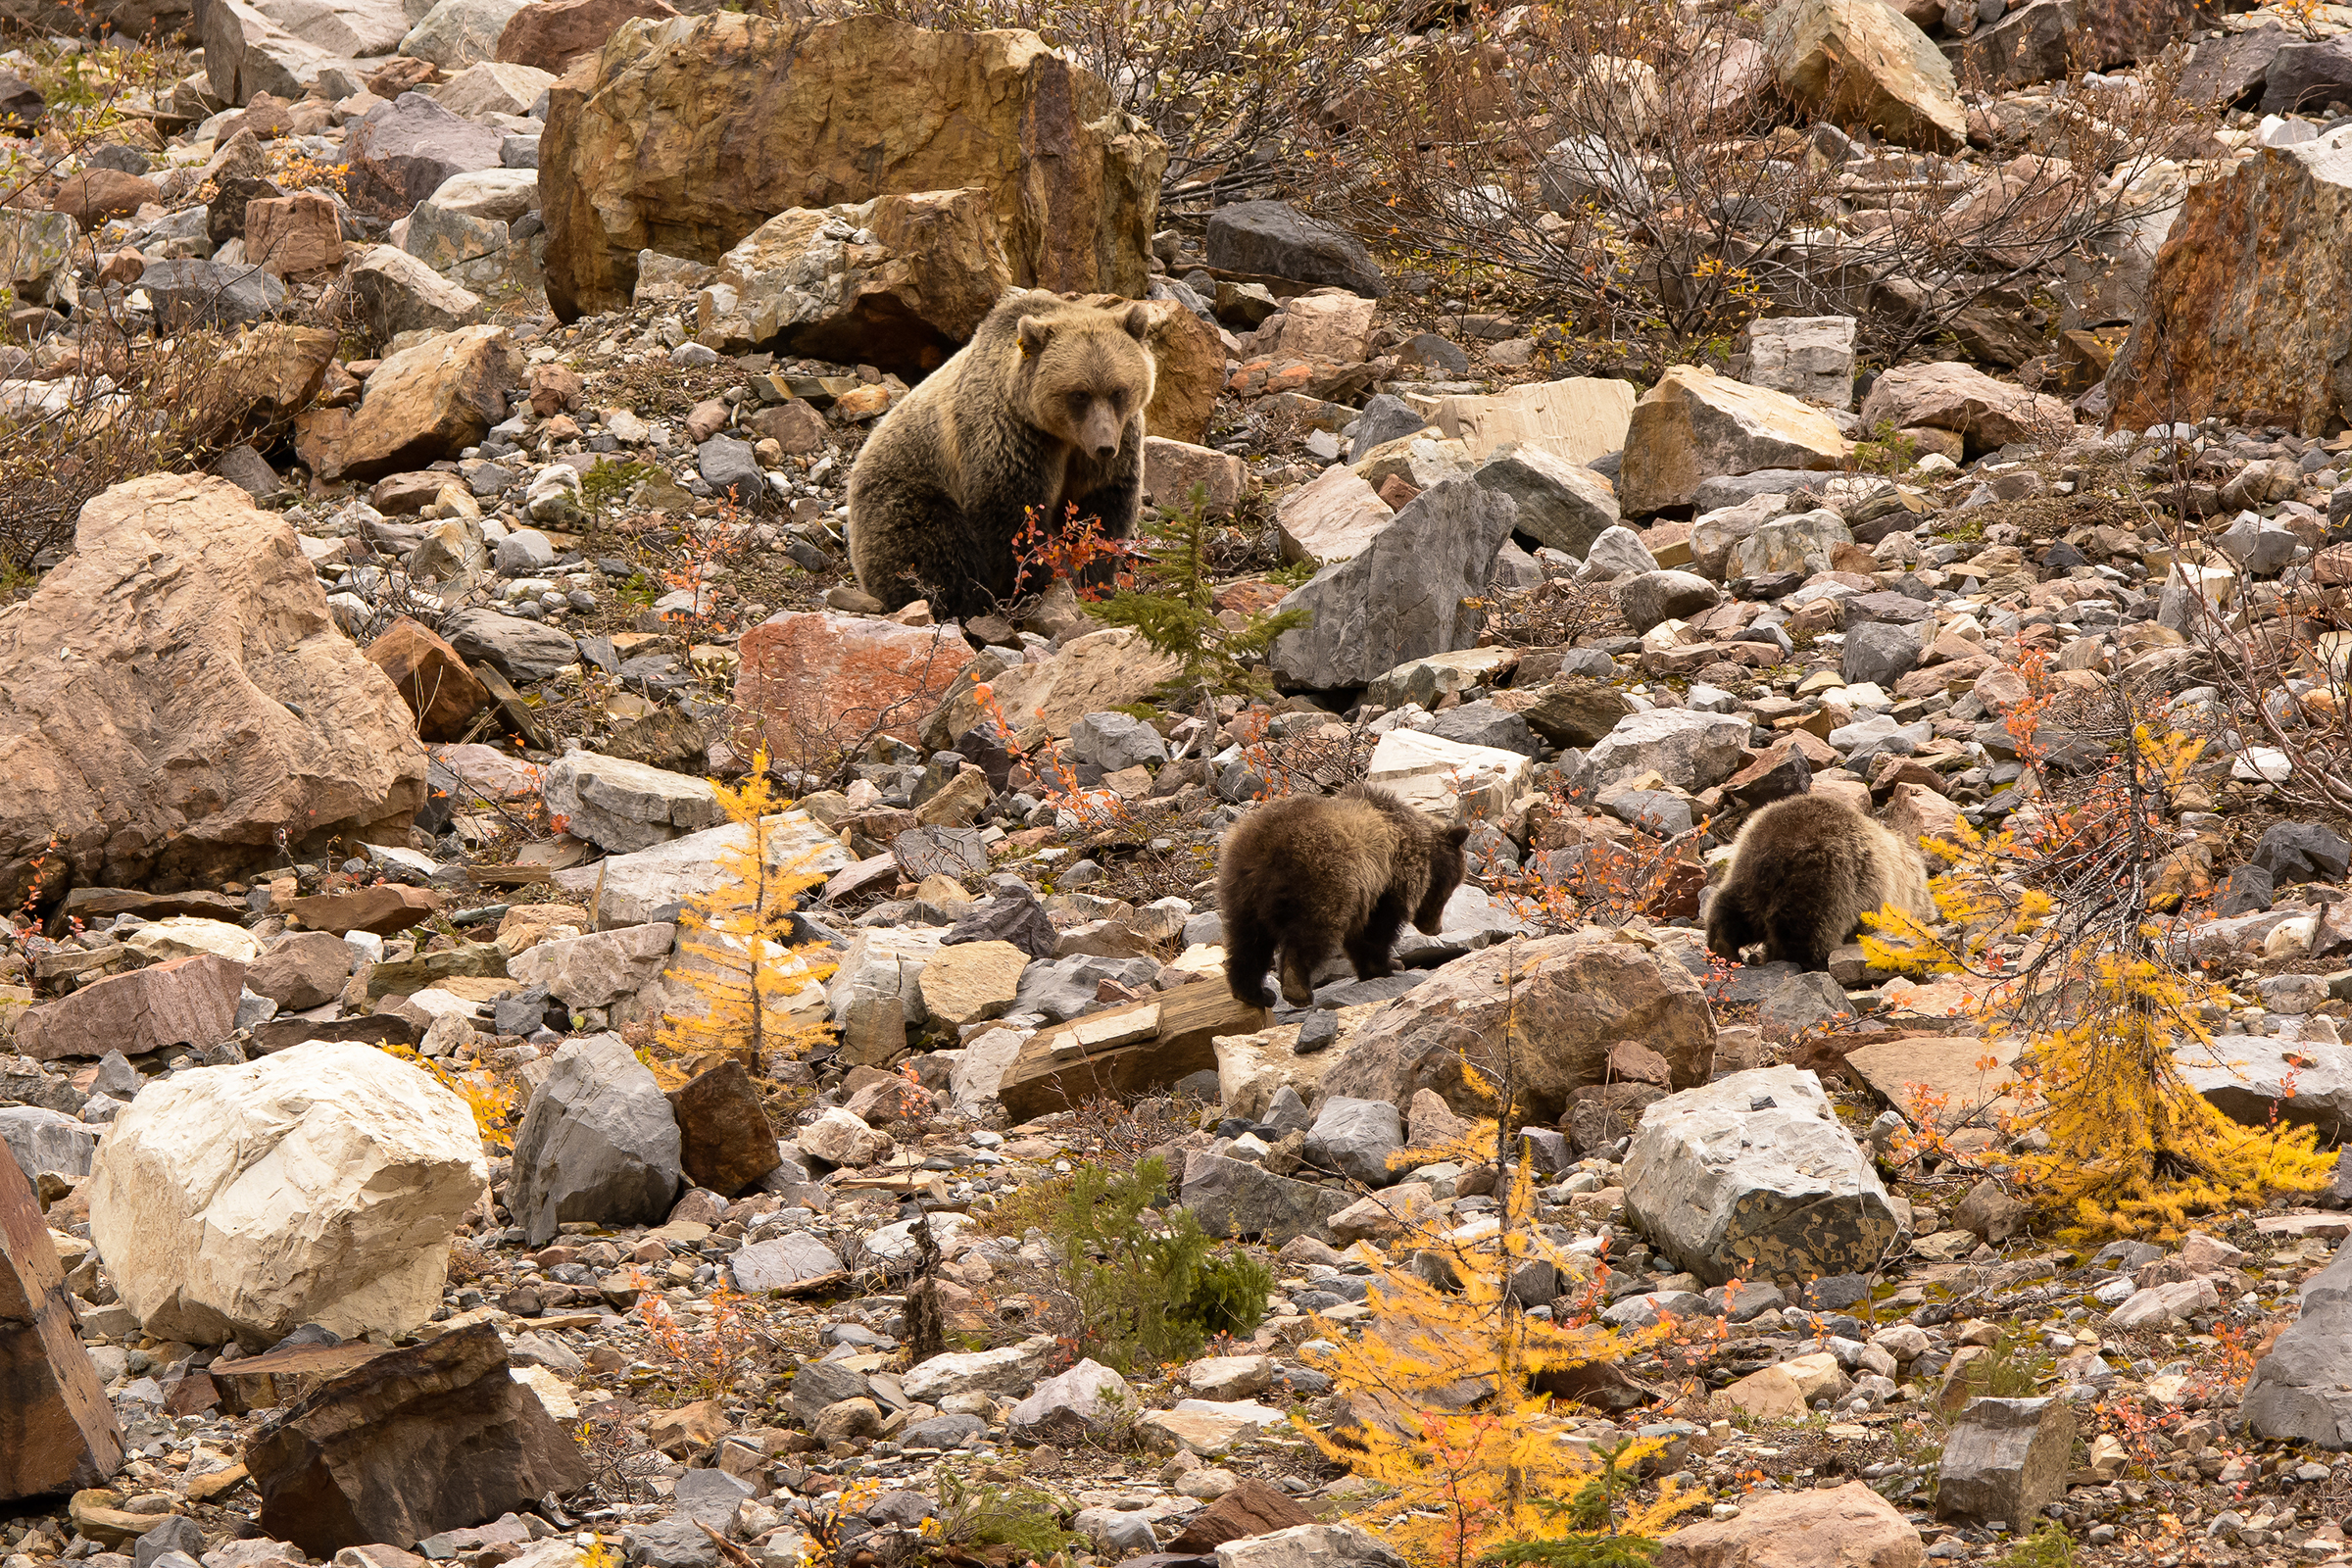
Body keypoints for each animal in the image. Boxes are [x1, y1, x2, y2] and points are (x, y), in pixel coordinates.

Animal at [846, 289, 1157, 623]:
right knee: (936, 549)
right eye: (1079, 394)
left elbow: (1103, 514)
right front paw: (1050, 582)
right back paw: (963, 604)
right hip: (905, 489)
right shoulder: (1013, 437)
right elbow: (1014, 521)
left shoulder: (1116, 443)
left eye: (1118, 391)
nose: (1104, 446)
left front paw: (1096, 585)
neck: (1062, 435)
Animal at [1216, 785, 1472, 1009]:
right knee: (1313, 931)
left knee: (1247, 939)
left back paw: (1255, 993)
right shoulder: (1385, 881)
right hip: (1322, 876)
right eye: (1450, 890)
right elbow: (1376, 929)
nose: (1436, 928)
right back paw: (1297, 989)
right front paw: (1388, 964)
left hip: (1241, 887)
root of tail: (1267, 844)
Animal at [1703, 794, 1934, 973]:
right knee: (1808, 933)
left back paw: (1724, 947)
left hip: (1746, 868)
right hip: (1828, 886)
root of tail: (1775, 854)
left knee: (1729, 908)